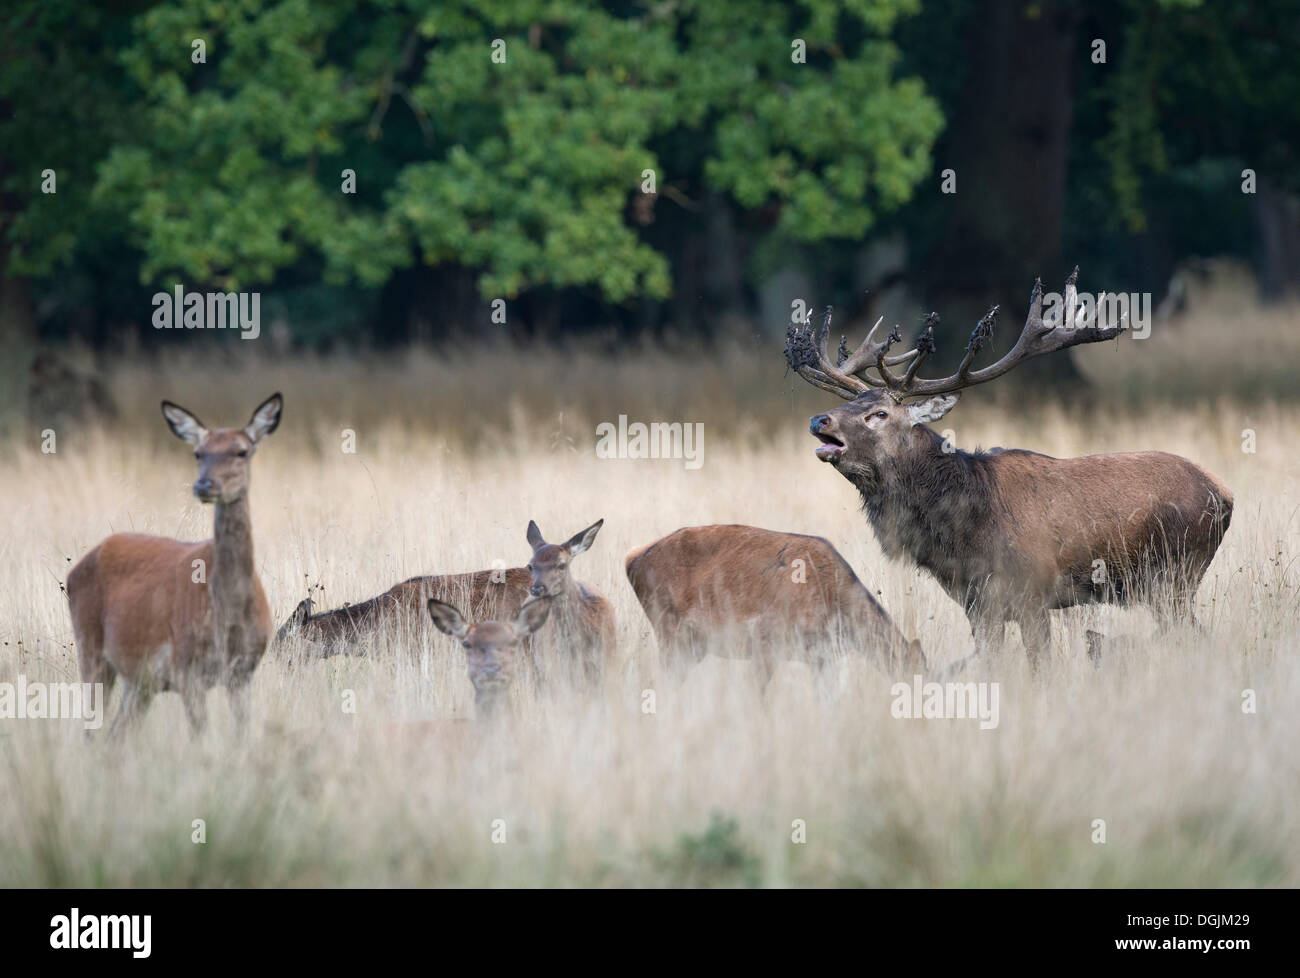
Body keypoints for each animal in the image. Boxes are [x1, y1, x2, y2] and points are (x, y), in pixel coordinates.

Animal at [66, 393, 284, 734]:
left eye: (241, 451)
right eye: (198, 453)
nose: (204, 485)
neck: (229, 617)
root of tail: (73, 571)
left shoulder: (243, 672)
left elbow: (242, 733)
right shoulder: (186, 669)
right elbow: (201, 735)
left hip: (139, 681)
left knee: (116, 733)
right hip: (90, 649)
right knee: (92, 729)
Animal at [785, 267, 1233, 670]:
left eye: (878, 414)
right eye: (850, 404)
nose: (819, 420)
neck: (964, 534)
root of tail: (1225, 494)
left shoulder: (1034, 594)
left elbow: (1040, 666)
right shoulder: (977, 604)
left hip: (1176, 576)